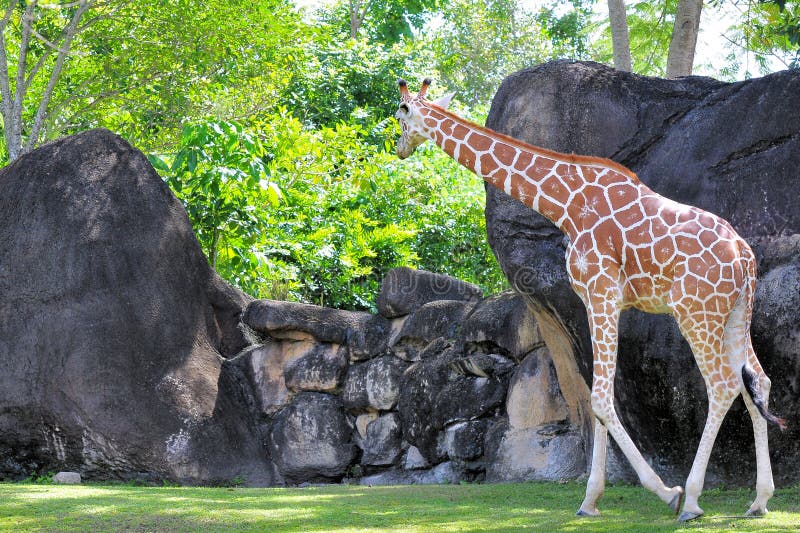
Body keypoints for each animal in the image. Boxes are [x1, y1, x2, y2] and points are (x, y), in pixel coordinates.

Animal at [393, 78, 786, 522]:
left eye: (399, 117)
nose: (399, 148)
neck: (565, 204)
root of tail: (745, 257)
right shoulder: (594, 300)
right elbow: (598, 393)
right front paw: (589, 501)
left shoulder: (602, 292)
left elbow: (598, 397)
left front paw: (665, 491)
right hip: (734, 313)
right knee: (757, 382)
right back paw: (759, 500)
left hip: (695, 311)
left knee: (722, 385)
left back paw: (691, 500)